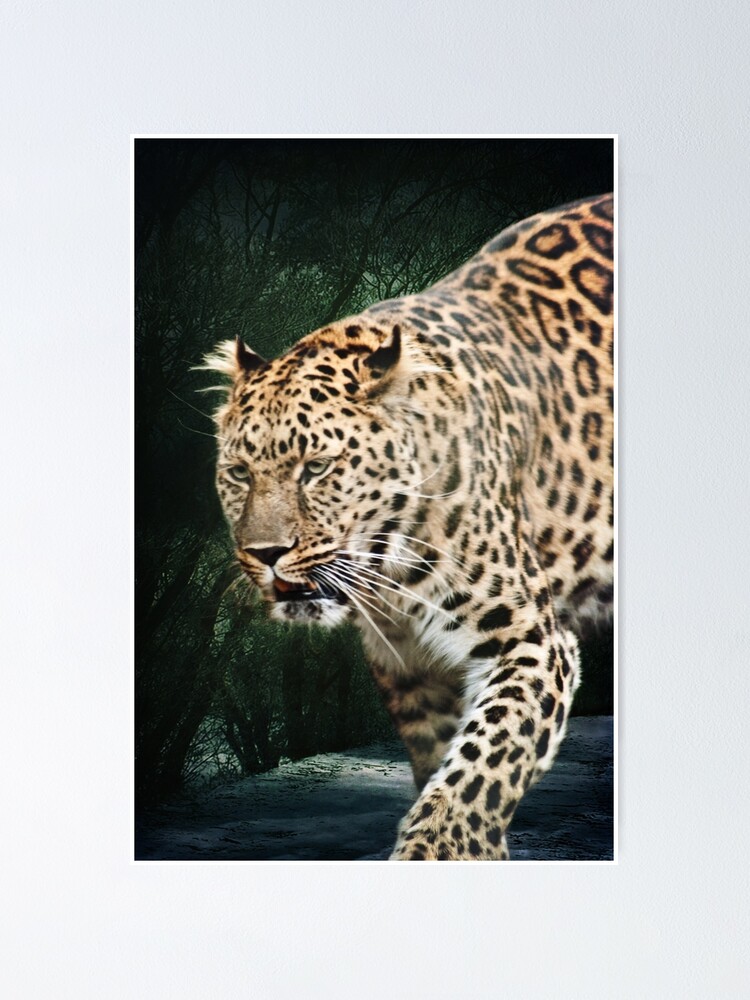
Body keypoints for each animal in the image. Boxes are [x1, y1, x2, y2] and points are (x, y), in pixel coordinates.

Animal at [203, 193, 614, 860]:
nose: (265, 553)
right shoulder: (412, 666)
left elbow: (481, 768)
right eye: (239, 472)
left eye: (316, 467)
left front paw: (436, 848)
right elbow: (447, 763)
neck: (391, 568)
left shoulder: (532, 641)